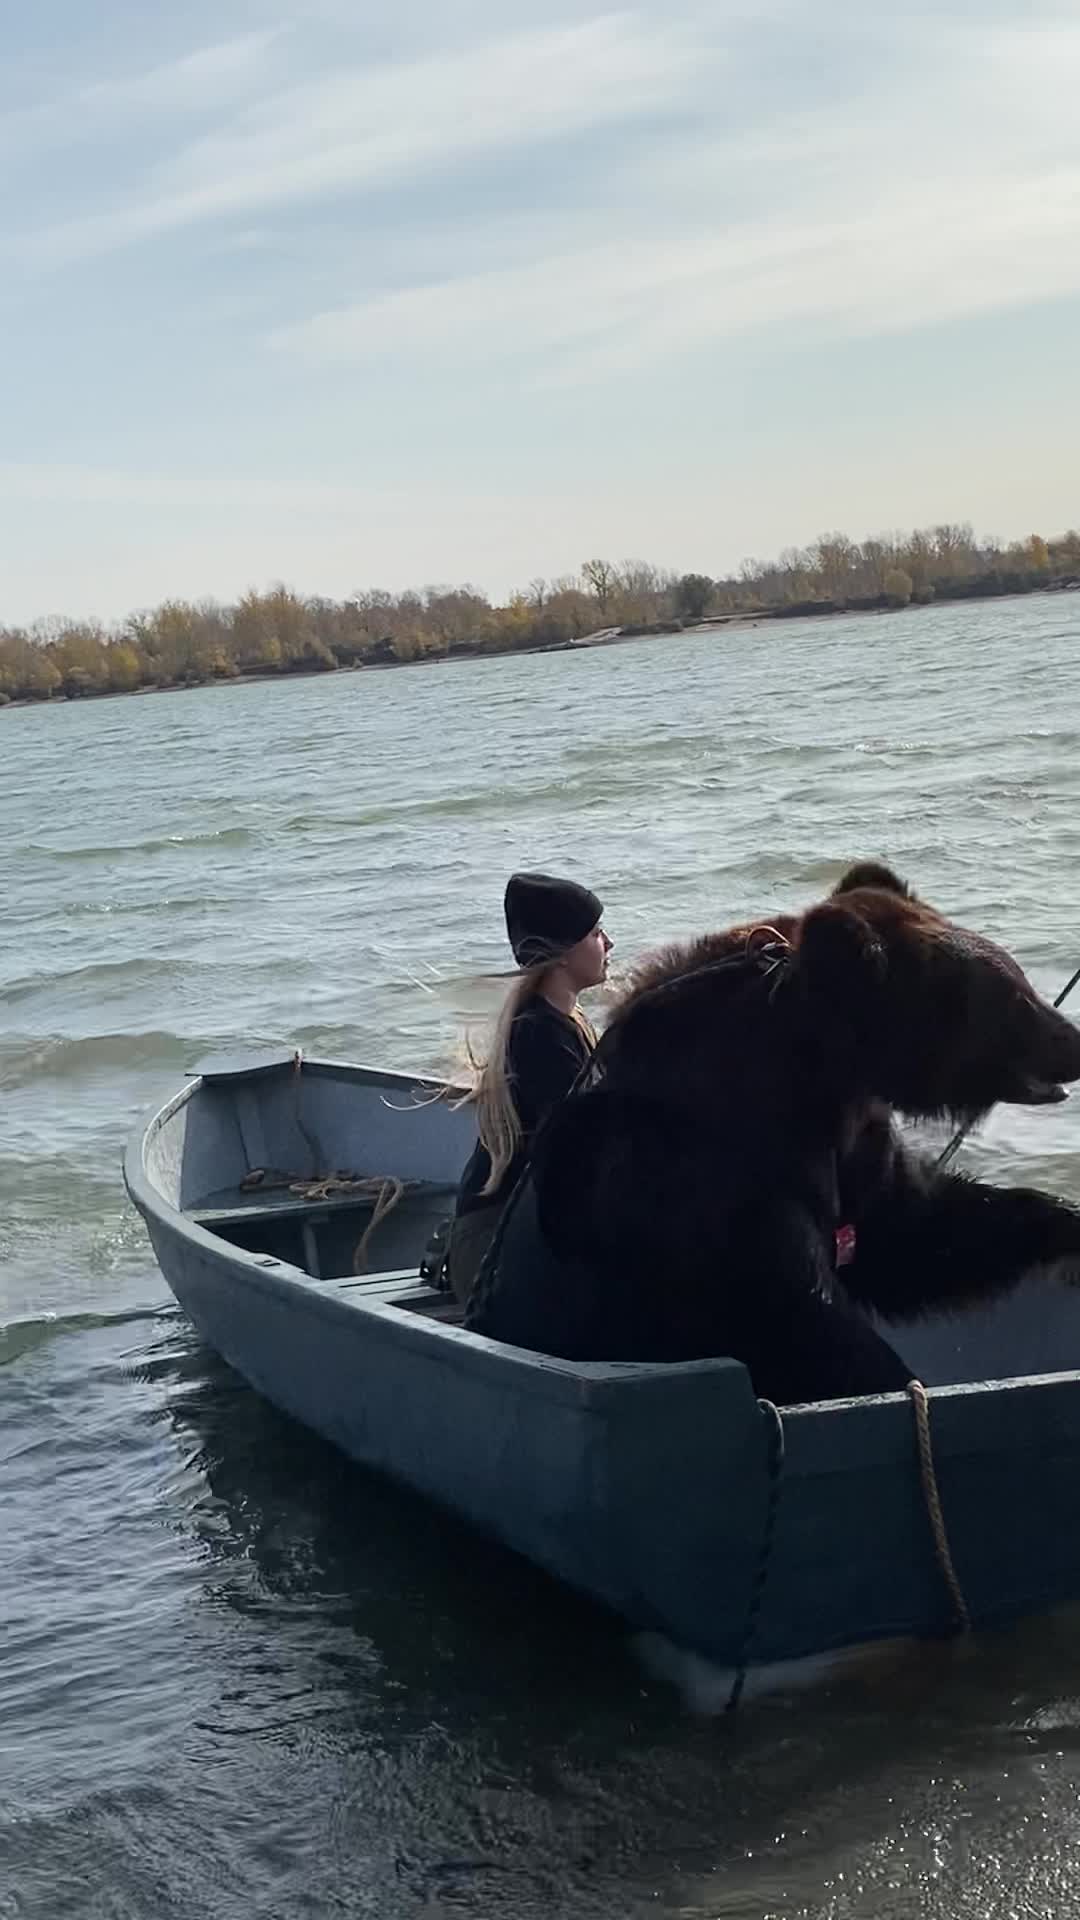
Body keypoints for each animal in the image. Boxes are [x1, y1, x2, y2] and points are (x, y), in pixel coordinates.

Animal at [465, 863, 1080, 1406]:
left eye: (1016, 975)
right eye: (1015, 995)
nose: (1072, 1037)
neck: (807, 1071)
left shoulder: (849, 1143)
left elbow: (917, 1231)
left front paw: (1062, 1219)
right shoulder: (697, 1188)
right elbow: (800, 1315)